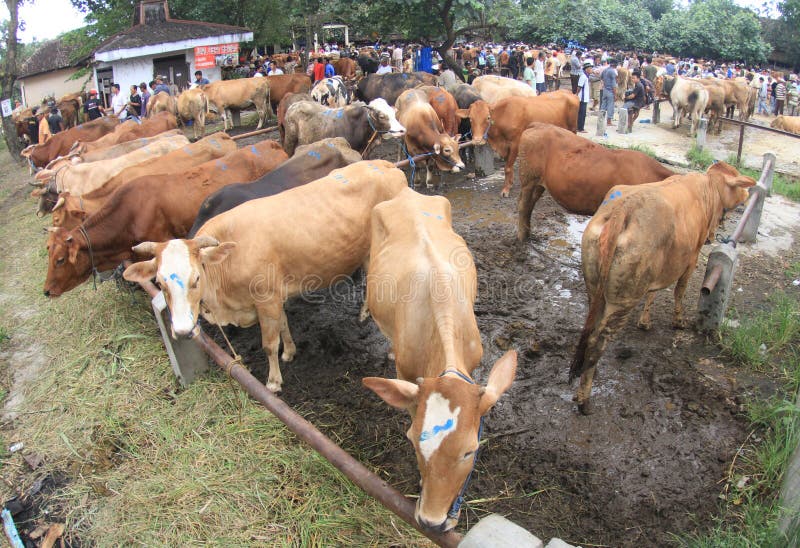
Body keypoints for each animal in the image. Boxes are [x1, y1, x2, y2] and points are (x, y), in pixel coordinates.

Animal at [122, 160, 408, 393]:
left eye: (196, 279)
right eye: (160, 283)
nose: (181, 330)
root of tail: (385, 165)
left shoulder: (266, 299)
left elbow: (269, 343)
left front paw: (273, 382)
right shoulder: (274, 296)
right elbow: (283, 325)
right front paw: (289, 352)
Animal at [516, 123, 674, 241]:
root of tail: (540, 124)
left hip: (539, 183)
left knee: (530, 205)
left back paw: (528, 233)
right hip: (528, 179)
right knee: (523, 205)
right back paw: (522, 238)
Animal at [569, 163, 755, 415]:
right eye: (737, 181)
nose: (747, 193)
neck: (708, 190)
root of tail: (624, 210)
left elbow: (653, 293)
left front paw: (645, 321)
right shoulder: (692, 257)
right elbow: (680, 291)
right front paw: (678, 321)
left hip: (596, 288)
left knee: (590, 331)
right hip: (622, 301)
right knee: (596, 342)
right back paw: (584, 400)